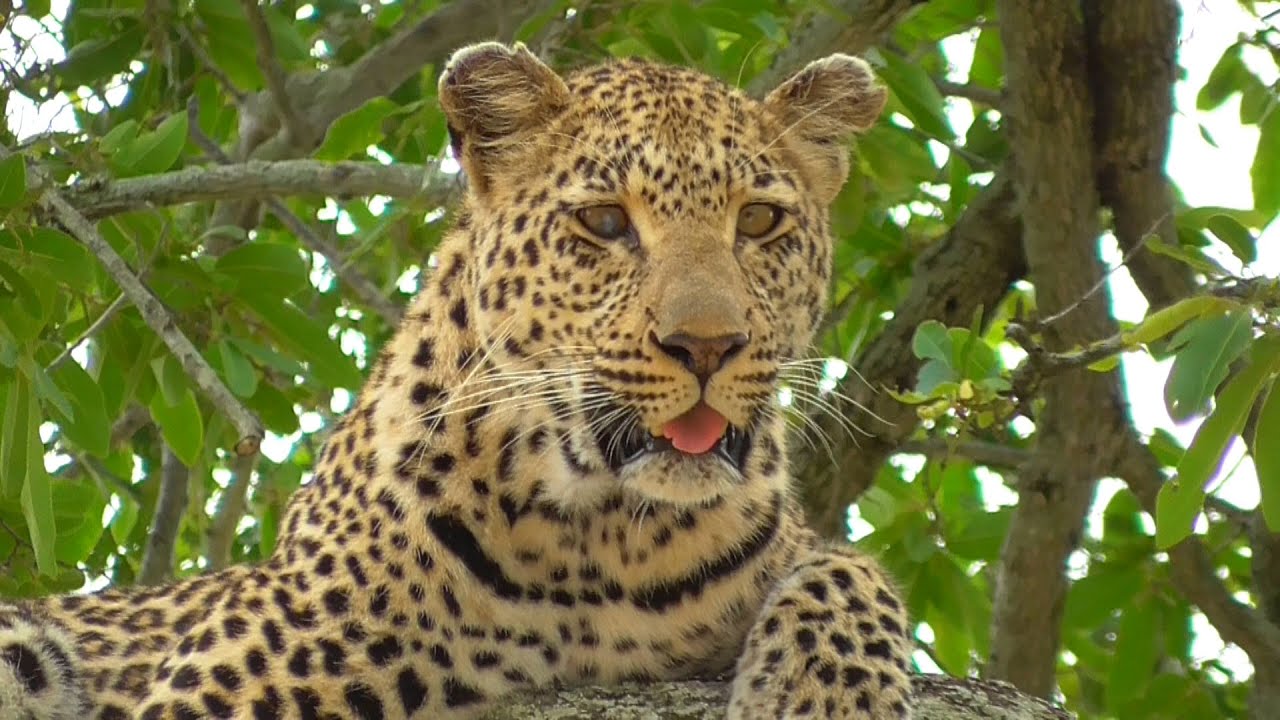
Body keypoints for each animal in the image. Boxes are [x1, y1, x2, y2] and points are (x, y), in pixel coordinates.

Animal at [0, 42, 912, 719]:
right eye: (604, 222)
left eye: (758, 220)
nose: (707, 345)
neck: (606, 547)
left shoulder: (789, 549)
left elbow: (854, 571)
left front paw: (826, 697)